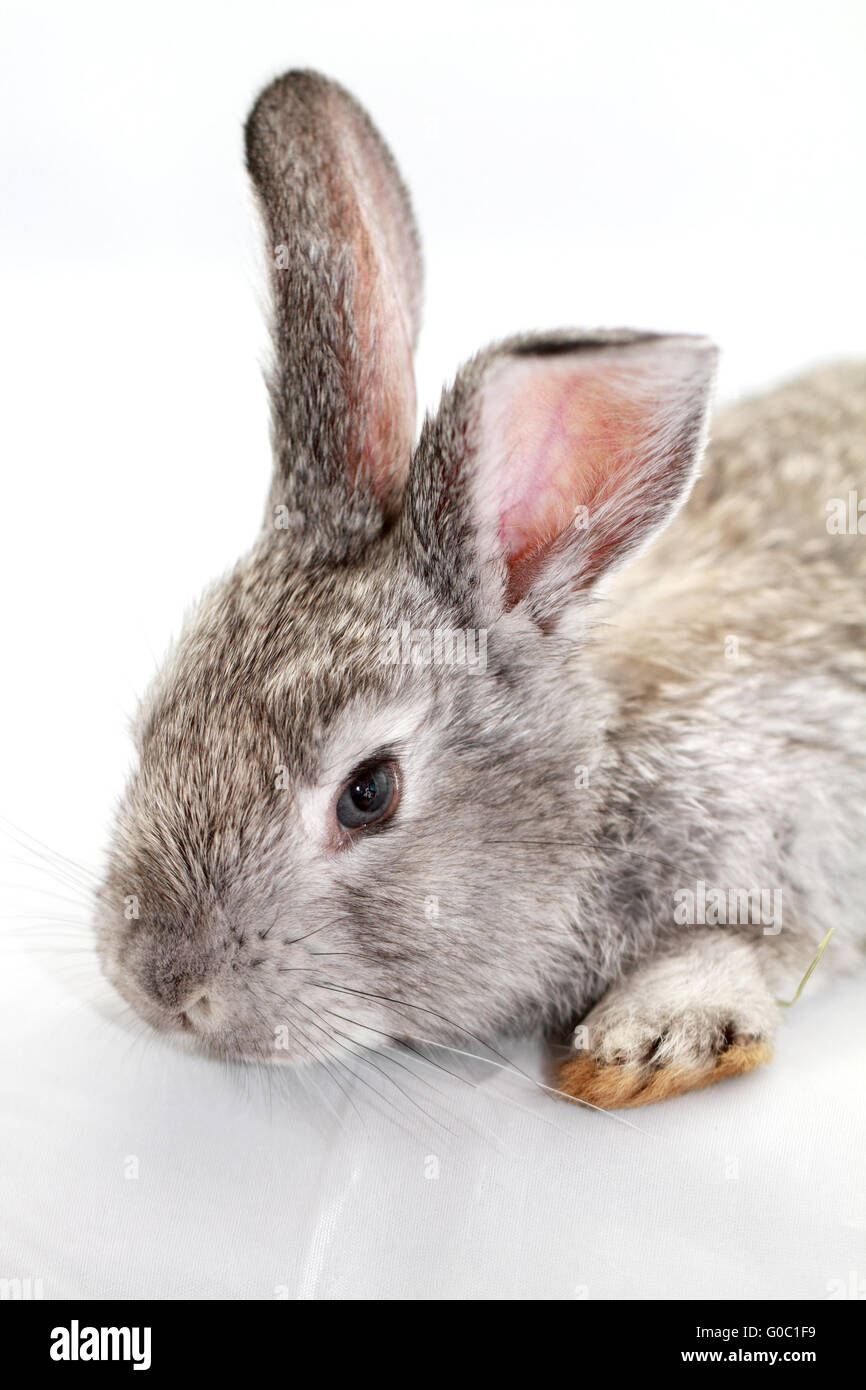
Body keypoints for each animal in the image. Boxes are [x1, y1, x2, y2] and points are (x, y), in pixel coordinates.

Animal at [95, 69, 866, 1110]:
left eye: (369, 794)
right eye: (156, 722)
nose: (160, 981)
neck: (597, 784)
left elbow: (754, 947)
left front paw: (648, 1042)